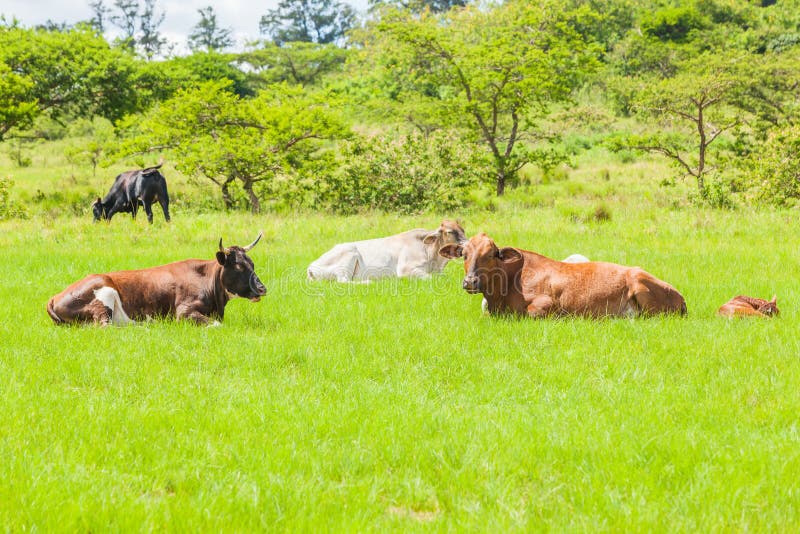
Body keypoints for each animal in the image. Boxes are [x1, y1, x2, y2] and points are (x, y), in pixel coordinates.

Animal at [46, 233, 266, 326]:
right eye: (239, 266)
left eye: (252, 263)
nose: (262, 288)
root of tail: (55, 296)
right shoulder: (183, 312)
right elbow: (217, 325)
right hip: (104, 295)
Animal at [307, 220, 467, 282]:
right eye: (450, 232)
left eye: (463, 230)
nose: (467, 245)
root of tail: (311, 267)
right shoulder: (406, 270)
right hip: (348, 256)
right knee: (343, 281)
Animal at [439, 232, 686, 318]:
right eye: (464, 255)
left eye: (491, 254)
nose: (470, 281)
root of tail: (680, 296)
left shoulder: (548, 304)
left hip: (640, 286)